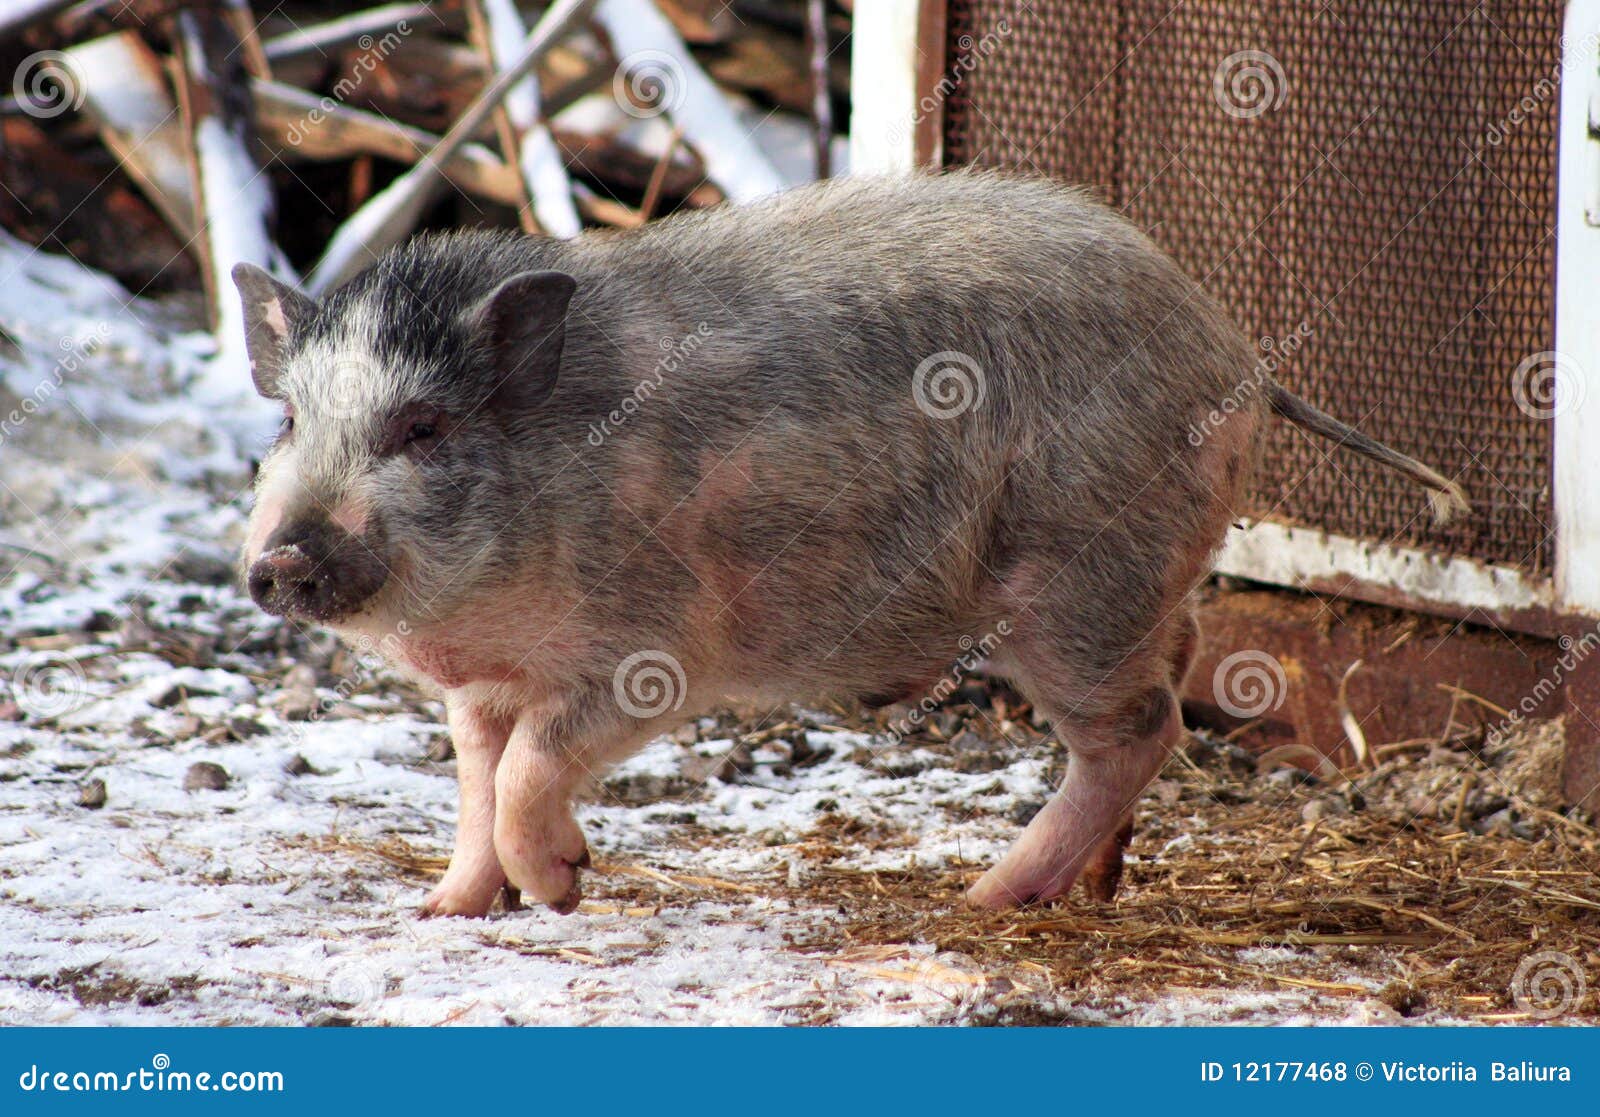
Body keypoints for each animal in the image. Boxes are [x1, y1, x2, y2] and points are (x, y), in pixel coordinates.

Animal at [233, 171, 1466, 916]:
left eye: (422, 429)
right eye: (288, 420)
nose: (281, 559)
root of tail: (1237, 353)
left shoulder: (658, 652)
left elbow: (531, 765)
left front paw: (567, 886)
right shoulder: (479, 687)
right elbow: (475, 780)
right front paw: (445, 908)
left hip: (1076, 581)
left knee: (1141, 726)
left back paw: (986, 900)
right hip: (1143, 578)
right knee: (1181, 661)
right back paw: (1096, 889)